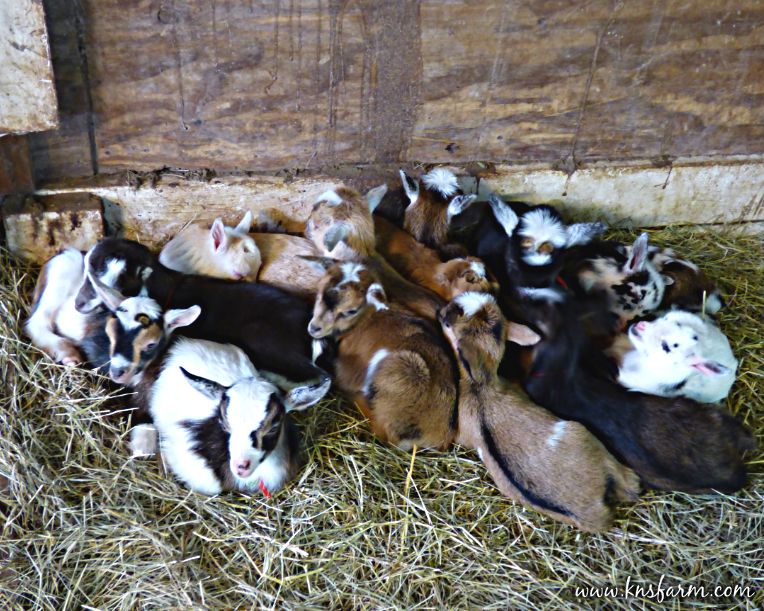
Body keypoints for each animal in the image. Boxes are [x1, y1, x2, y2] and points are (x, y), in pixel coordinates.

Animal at [304, 257, 458, 450]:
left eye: (351, 310)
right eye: (319, 292)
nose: (314, 328)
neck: (369, 315)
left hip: (407, 369)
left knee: (383, 431)